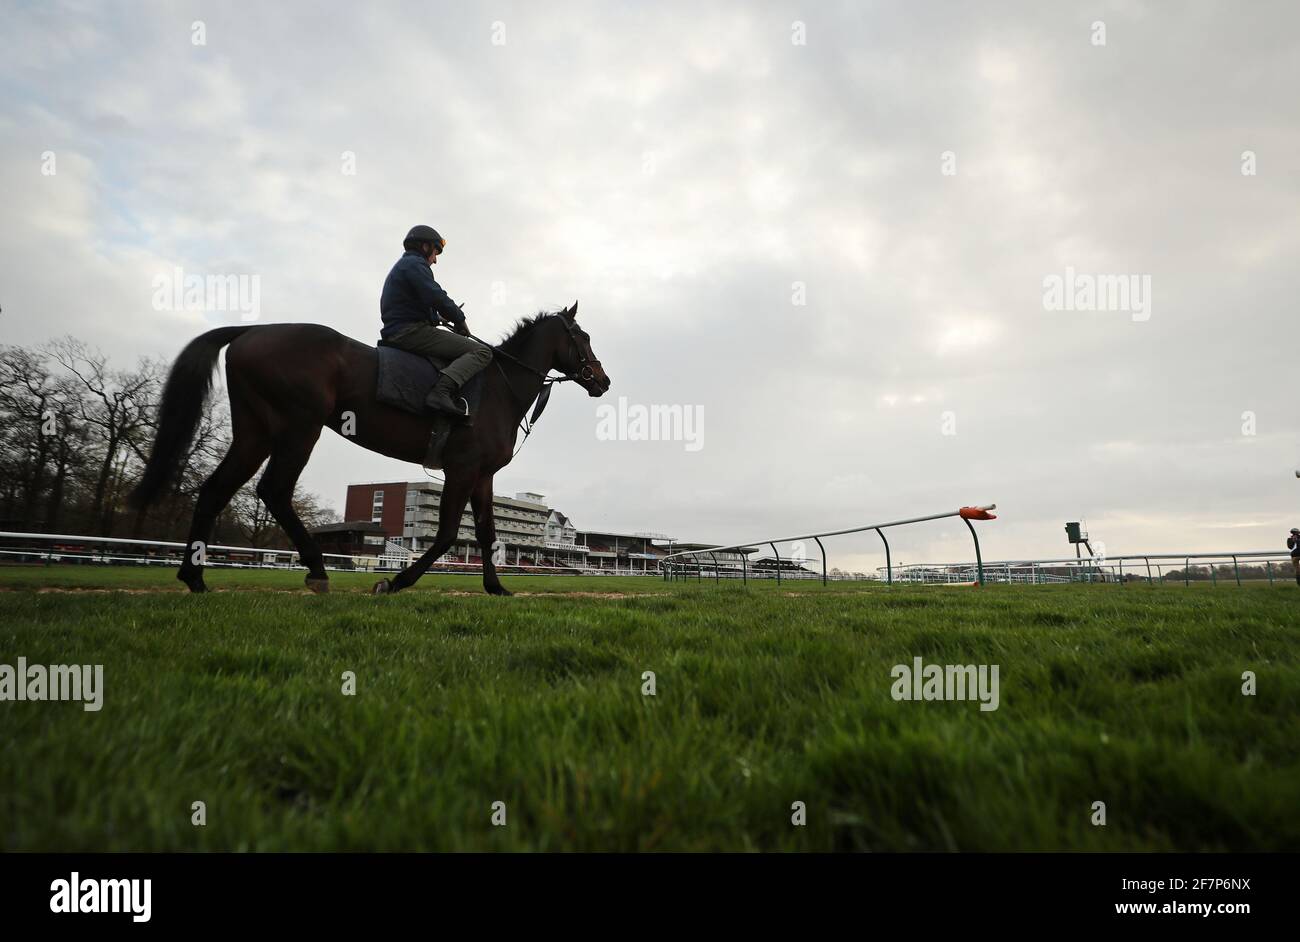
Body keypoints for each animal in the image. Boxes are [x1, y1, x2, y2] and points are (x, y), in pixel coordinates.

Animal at [129, 303, 611, 596]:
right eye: (583, 336)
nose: (603, 380)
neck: (498, 388)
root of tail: (253, 331)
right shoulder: (462, 468)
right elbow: (446, 535)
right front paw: (394, 582)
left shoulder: (483, 475)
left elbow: (489, 534)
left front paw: (496, 588)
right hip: (300, 428)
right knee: (274, 490)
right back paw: (318, 570)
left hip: (255, 433)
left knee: (216, 489)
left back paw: (194, 576)